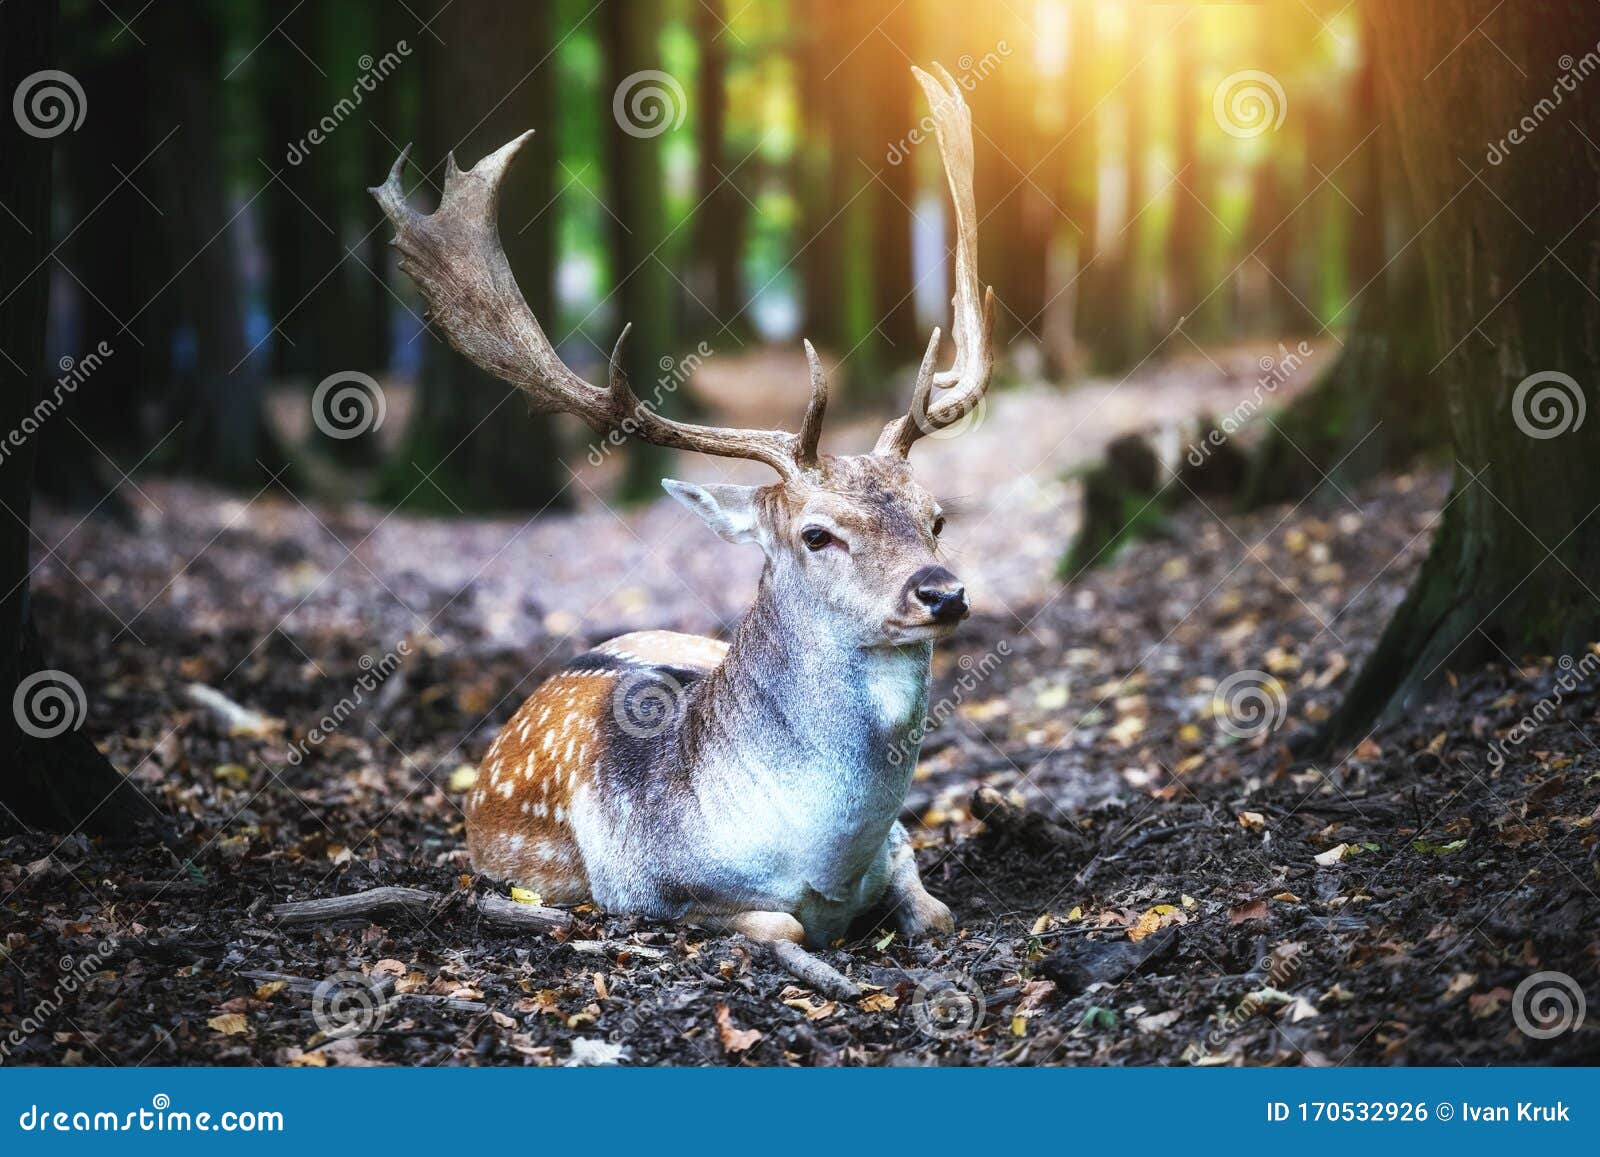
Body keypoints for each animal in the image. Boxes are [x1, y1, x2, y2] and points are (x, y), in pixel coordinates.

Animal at [372, 64, 996, 947]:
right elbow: (780, 926)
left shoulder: (901, 844)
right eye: (817, 534)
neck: (826, 865)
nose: (943, 592)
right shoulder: (651, 889)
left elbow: (934, 908)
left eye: (936, 516)